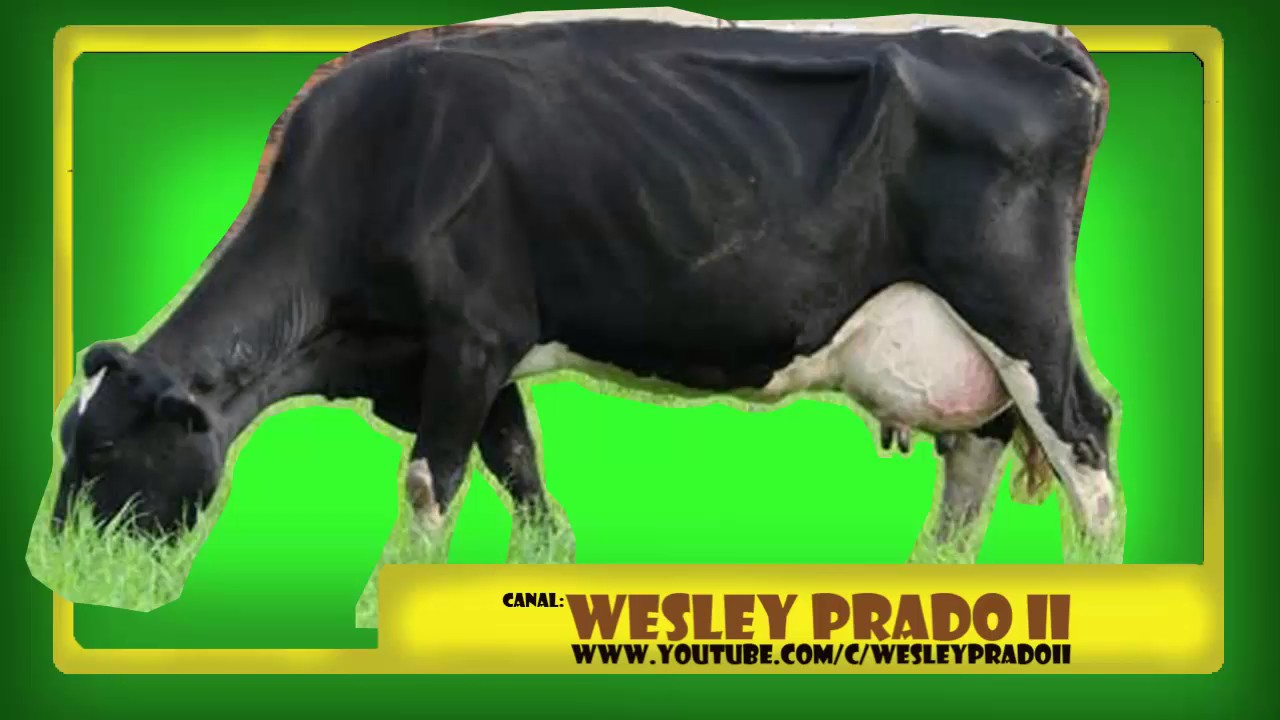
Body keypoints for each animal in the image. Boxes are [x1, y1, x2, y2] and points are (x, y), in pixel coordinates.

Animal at [52, 16, 1120, 563]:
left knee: (1087, 445)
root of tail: (1040, 41)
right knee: (974, 458)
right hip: (967, 350)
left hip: (1019, 314)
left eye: (101, 451)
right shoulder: (462, 356)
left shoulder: (469, 336)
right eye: (68, 442)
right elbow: (519, 473)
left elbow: (430, 484)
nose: (56, 568)